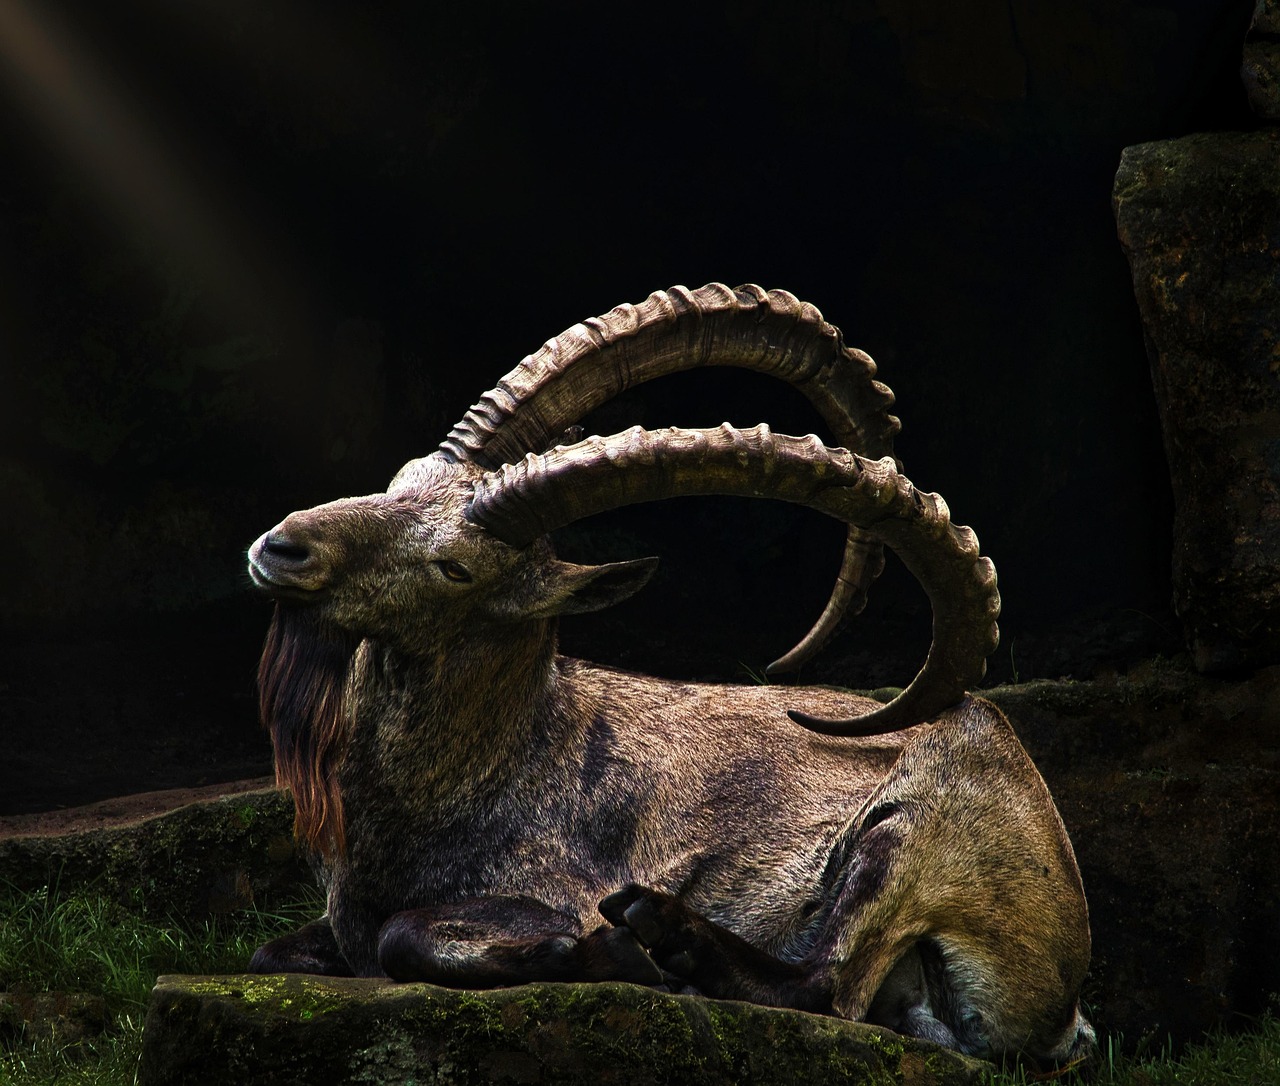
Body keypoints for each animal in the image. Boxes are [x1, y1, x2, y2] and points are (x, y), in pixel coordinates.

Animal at [246, 283, 1095, 1064]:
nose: (279, 547)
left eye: (455, 566)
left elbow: (405, 936)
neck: (486, 770)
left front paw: (594, 951)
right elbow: (269, 950)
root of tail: (1070, 1012)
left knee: (826, 989)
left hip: (918, 827)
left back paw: (668, 937)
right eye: (398, 483)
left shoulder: (553, 888)